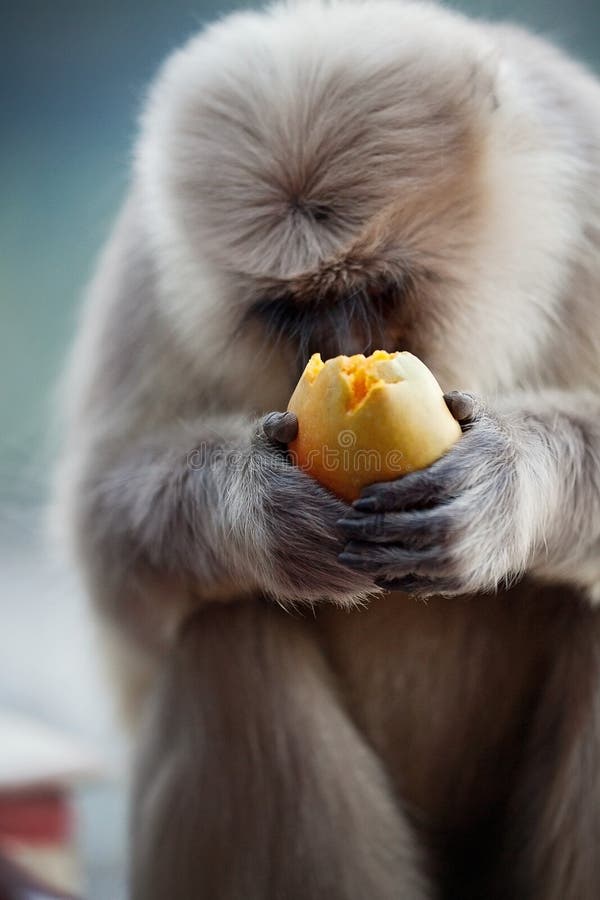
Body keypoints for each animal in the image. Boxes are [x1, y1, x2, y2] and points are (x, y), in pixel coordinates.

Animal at [54, 0, 600, 897]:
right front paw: (263, 513)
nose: (345, 348)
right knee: (228, 634)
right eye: (289, 309)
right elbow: (109, 551)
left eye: (378, 288)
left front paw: (502, 489)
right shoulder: (150, 256)